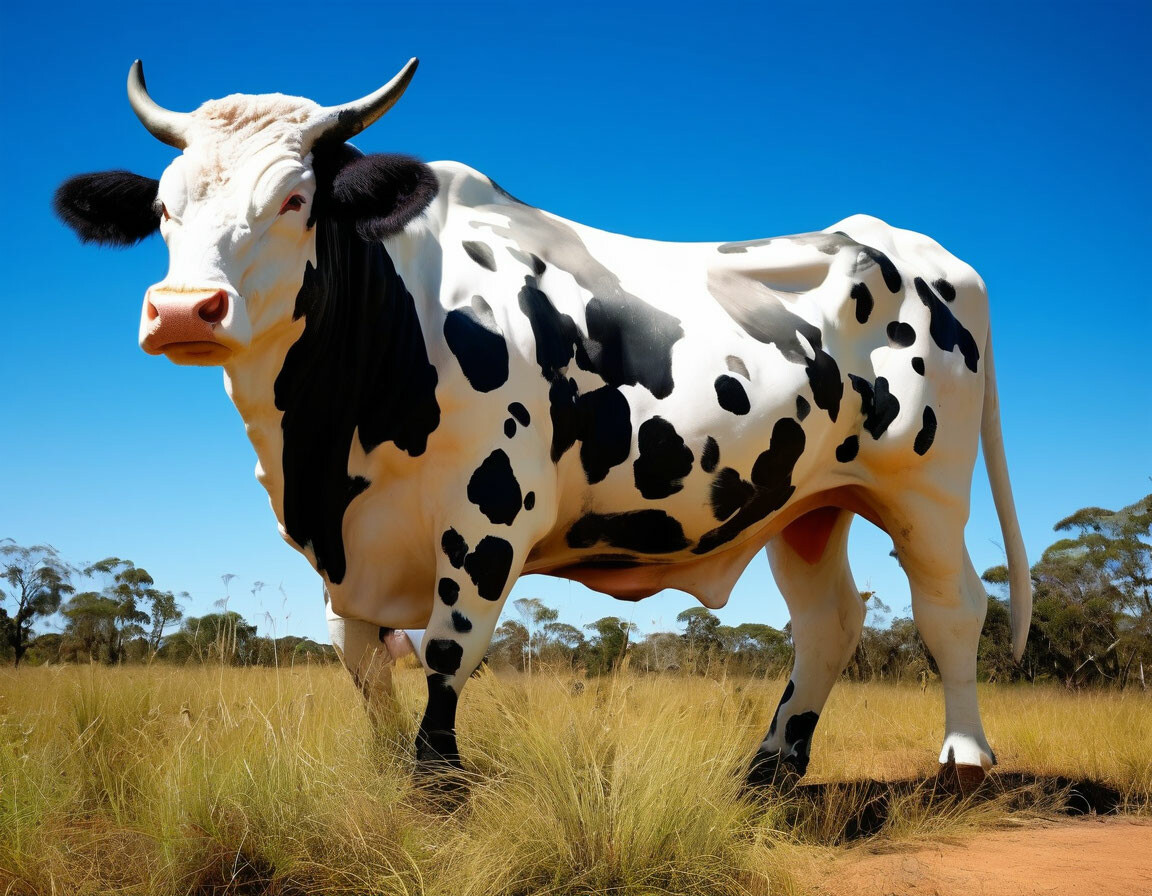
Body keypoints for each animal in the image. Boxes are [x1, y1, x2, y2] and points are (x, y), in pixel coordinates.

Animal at [54, 58, 1031, 787]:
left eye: (295, 199)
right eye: (164, 208)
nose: (184, 310)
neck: (325, 448)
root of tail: (910, 244)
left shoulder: (488, 513)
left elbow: (447, 652)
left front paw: (436, 785)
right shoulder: (343, 554)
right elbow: (366, 666)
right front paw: (385, 776)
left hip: (927, 492)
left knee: (951, 607)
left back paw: (962, 760)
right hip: (809, 503)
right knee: (829, 621)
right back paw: (769, 770)